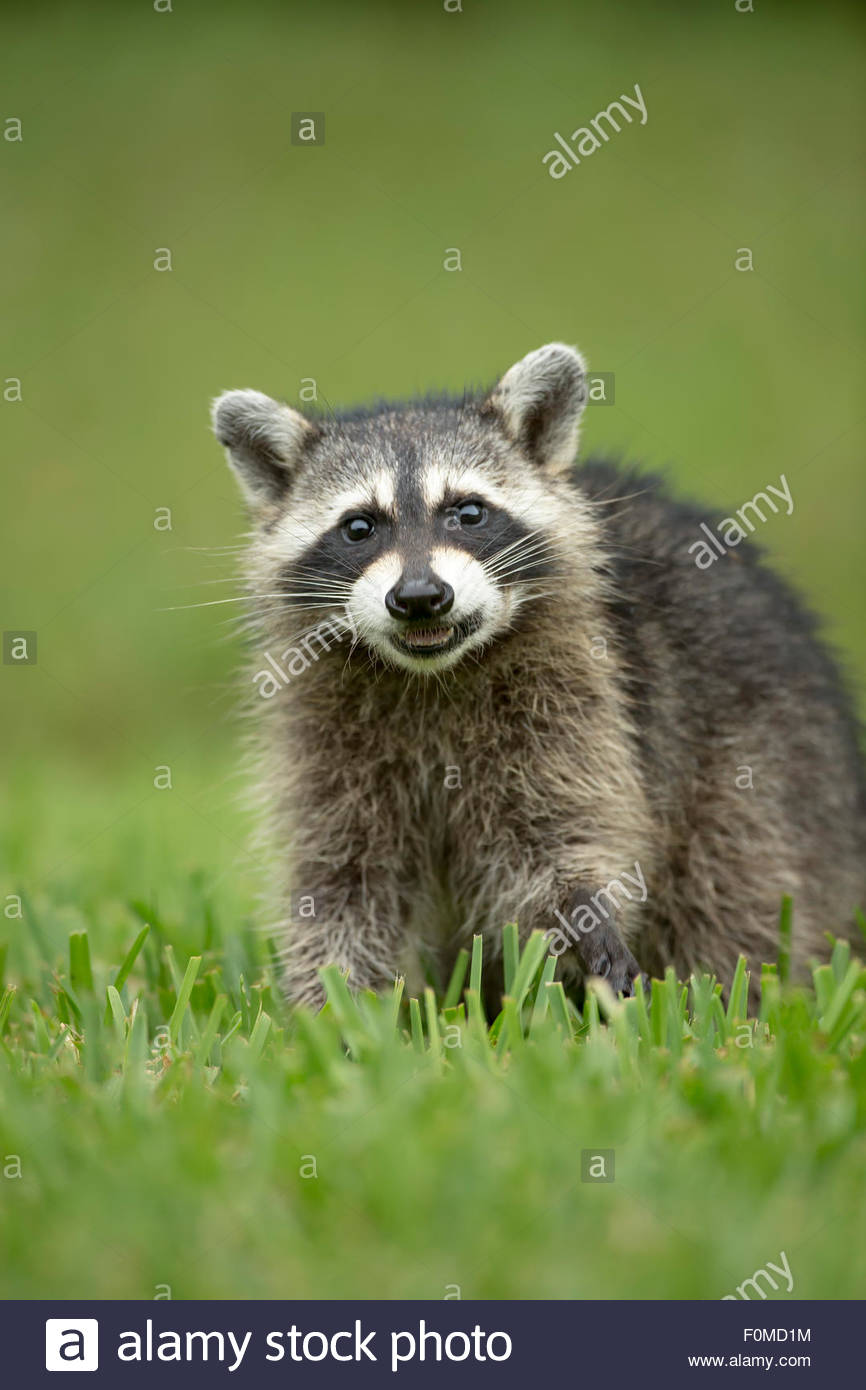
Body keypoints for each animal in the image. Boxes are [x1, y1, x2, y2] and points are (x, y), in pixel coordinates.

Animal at [211, 343, 866, 1009]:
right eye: (359, 527)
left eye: (468, 512)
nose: (420, 597)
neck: (431, 676)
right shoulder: (325, 733)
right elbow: (341, 876)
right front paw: (332, 1005)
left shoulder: (580, 691)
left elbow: (560, 831)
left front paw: (585, 911)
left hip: (765, 760)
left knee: (736, 887)